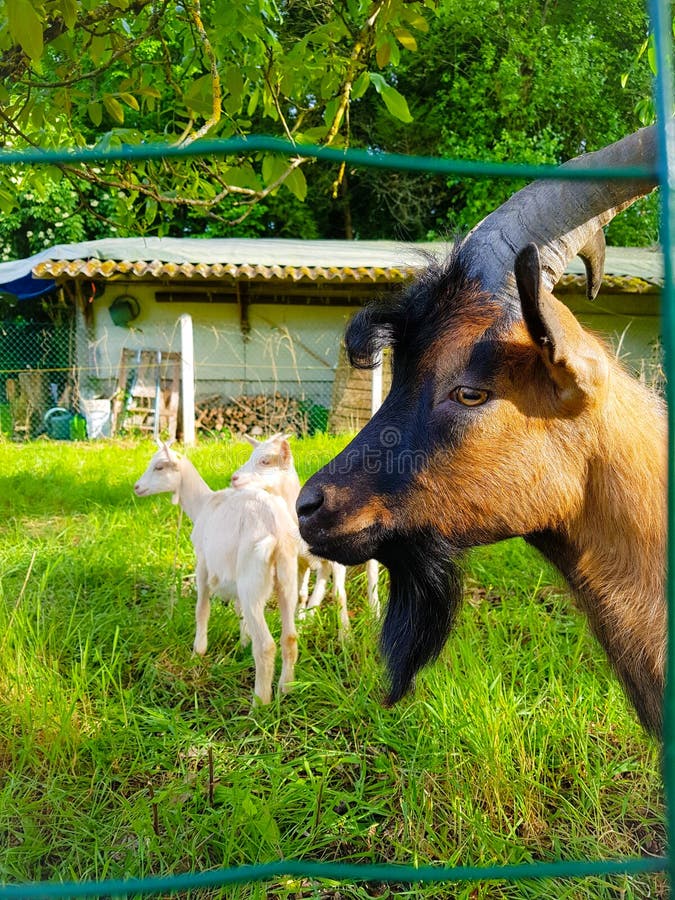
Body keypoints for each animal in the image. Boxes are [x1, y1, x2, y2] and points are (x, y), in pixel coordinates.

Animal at [134, 442, 299, 705]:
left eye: (159, 466)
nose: (137, 487)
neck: (203, 504)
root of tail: (276, 530)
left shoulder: (203, 562)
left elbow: (202, 609)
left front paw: (198, 650)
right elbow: (239, 612)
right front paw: (243, 642)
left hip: (252, 580)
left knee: (266, 646)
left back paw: (259, 704)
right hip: (287, 578)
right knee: (289, 637)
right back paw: (287, 688)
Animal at [231, 433, 381, 633]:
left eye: (265, 461)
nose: (234, 478)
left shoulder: (336, 561)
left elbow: (339, 594)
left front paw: (345, 634)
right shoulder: (300, 561)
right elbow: (300, 594)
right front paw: (300, 623)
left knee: (372, 576)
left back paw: (375, 614)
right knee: (322, 578)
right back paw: (311, 612)